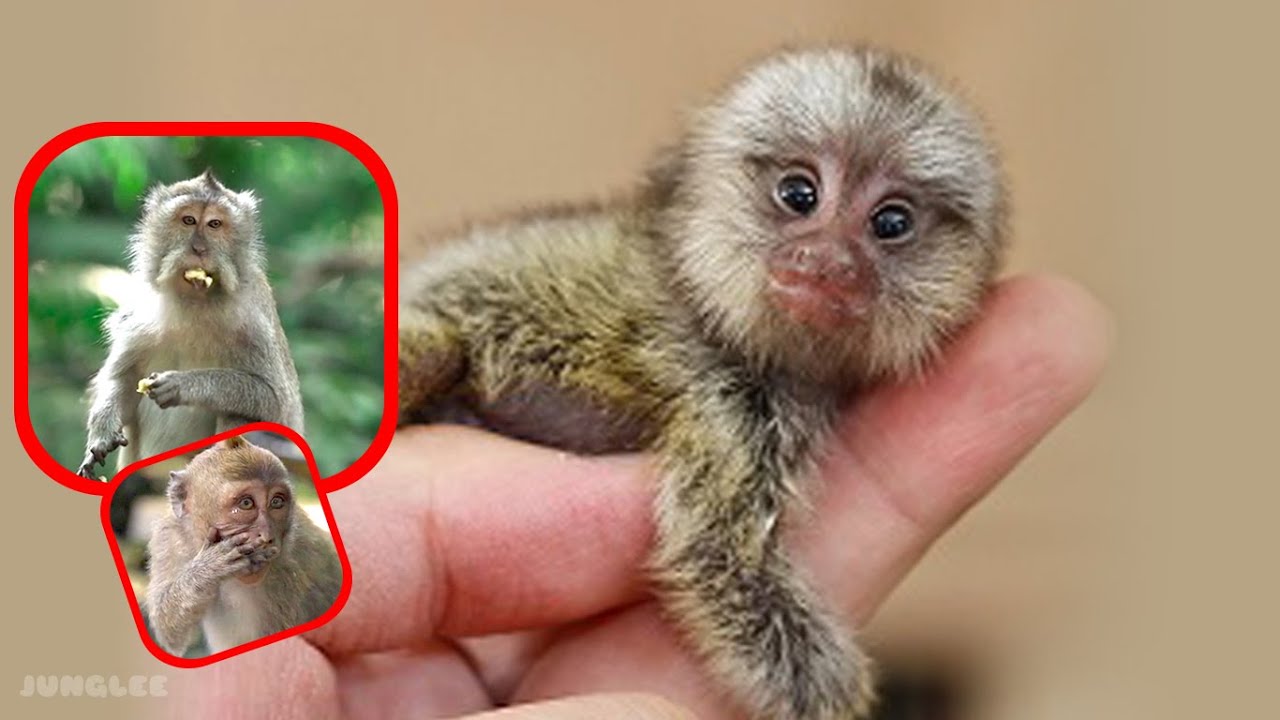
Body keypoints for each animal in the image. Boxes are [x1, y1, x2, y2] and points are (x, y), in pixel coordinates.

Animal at [76, 171, 304, 479]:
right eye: (188, 220)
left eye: (215, 224)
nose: (199, 249)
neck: (194, 304)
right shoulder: (137, 314)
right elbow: (122, 379)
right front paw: (101, 433)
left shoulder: (254, 323)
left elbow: (274, 401)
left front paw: (182, 385)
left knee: (240, 413)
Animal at [144, 435, 342, 656]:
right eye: (246, 503)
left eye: (276, 502)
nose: (266, 537)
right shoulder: (169, 537)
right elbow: (167, 629)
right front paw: (208, 569)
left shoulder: (288, 575)